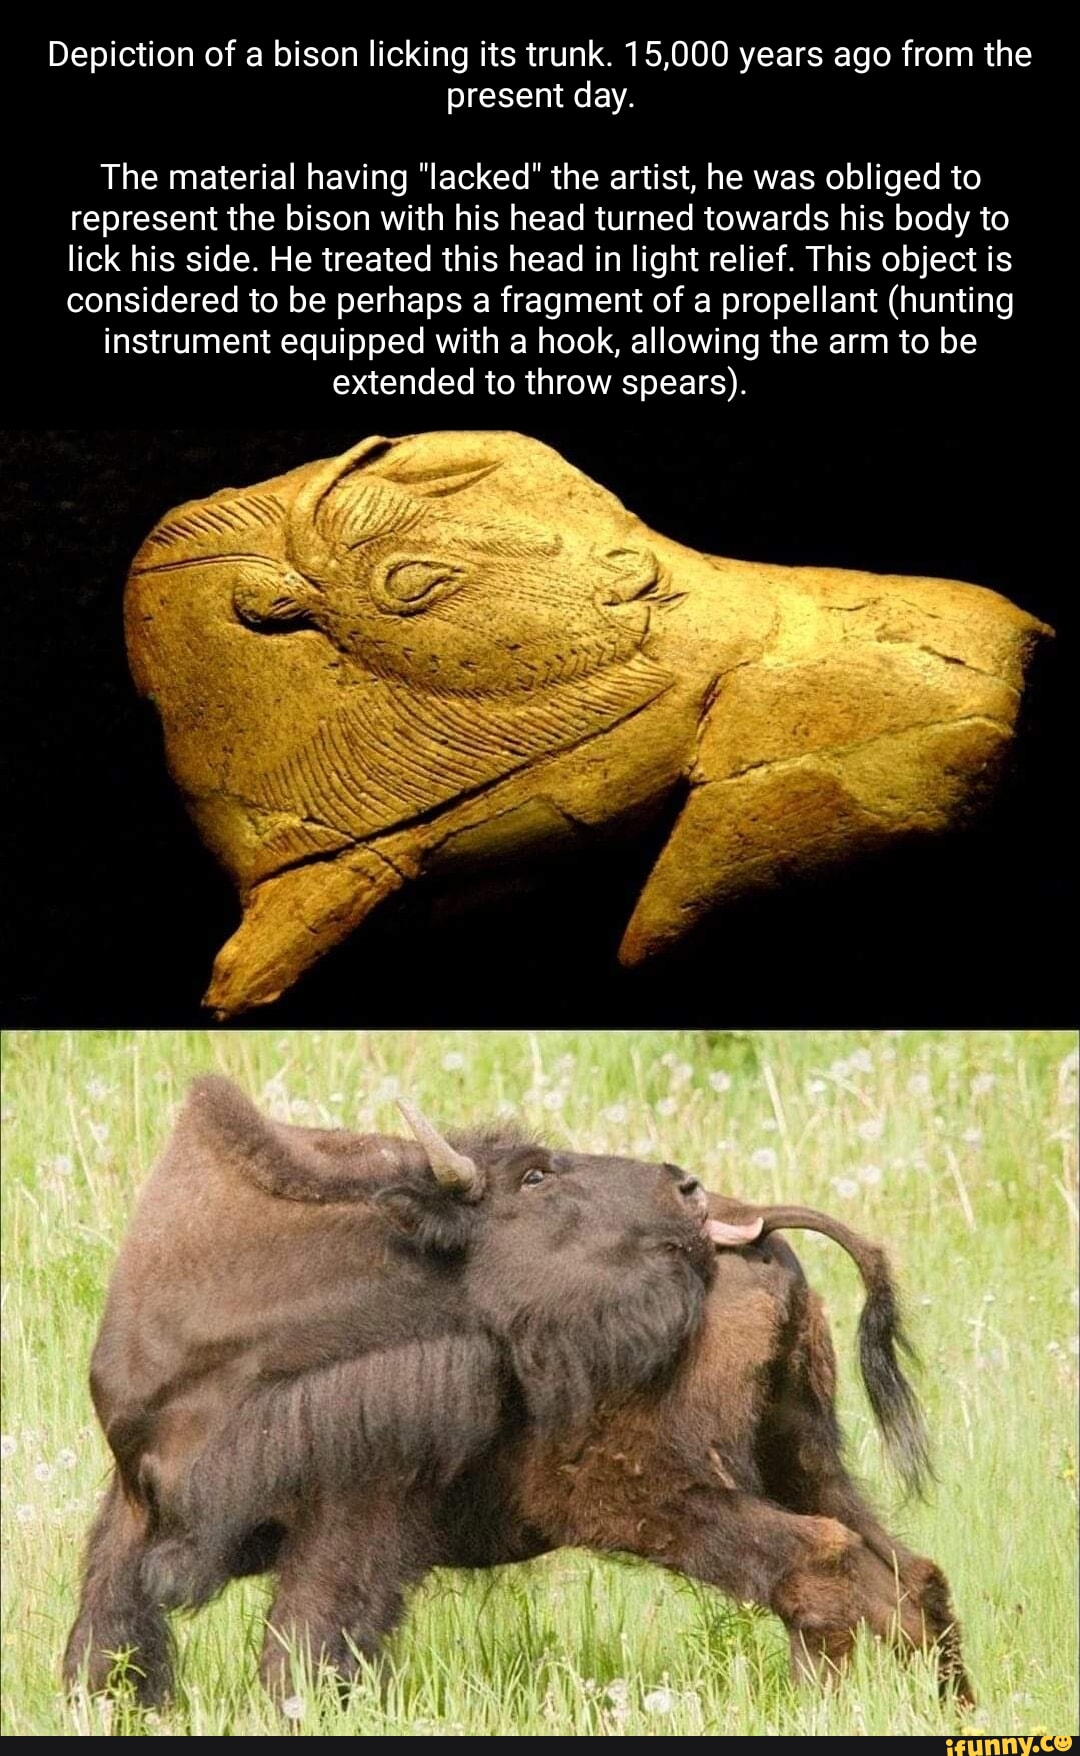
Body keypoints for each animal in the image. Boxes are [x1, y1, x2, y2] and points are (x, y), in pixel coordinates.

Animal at [63, 1078, 969, 1706]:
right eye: (534, 1175)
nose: (687, 1190)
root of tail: (762, 1235)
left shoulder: (351, 1516)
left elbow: (305, 1648)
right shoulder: (136, 1499)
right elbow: (105, 1638)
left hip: (669, 1494)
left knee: (821, 1569)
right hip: (801, 1454)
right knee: (906, 1577)